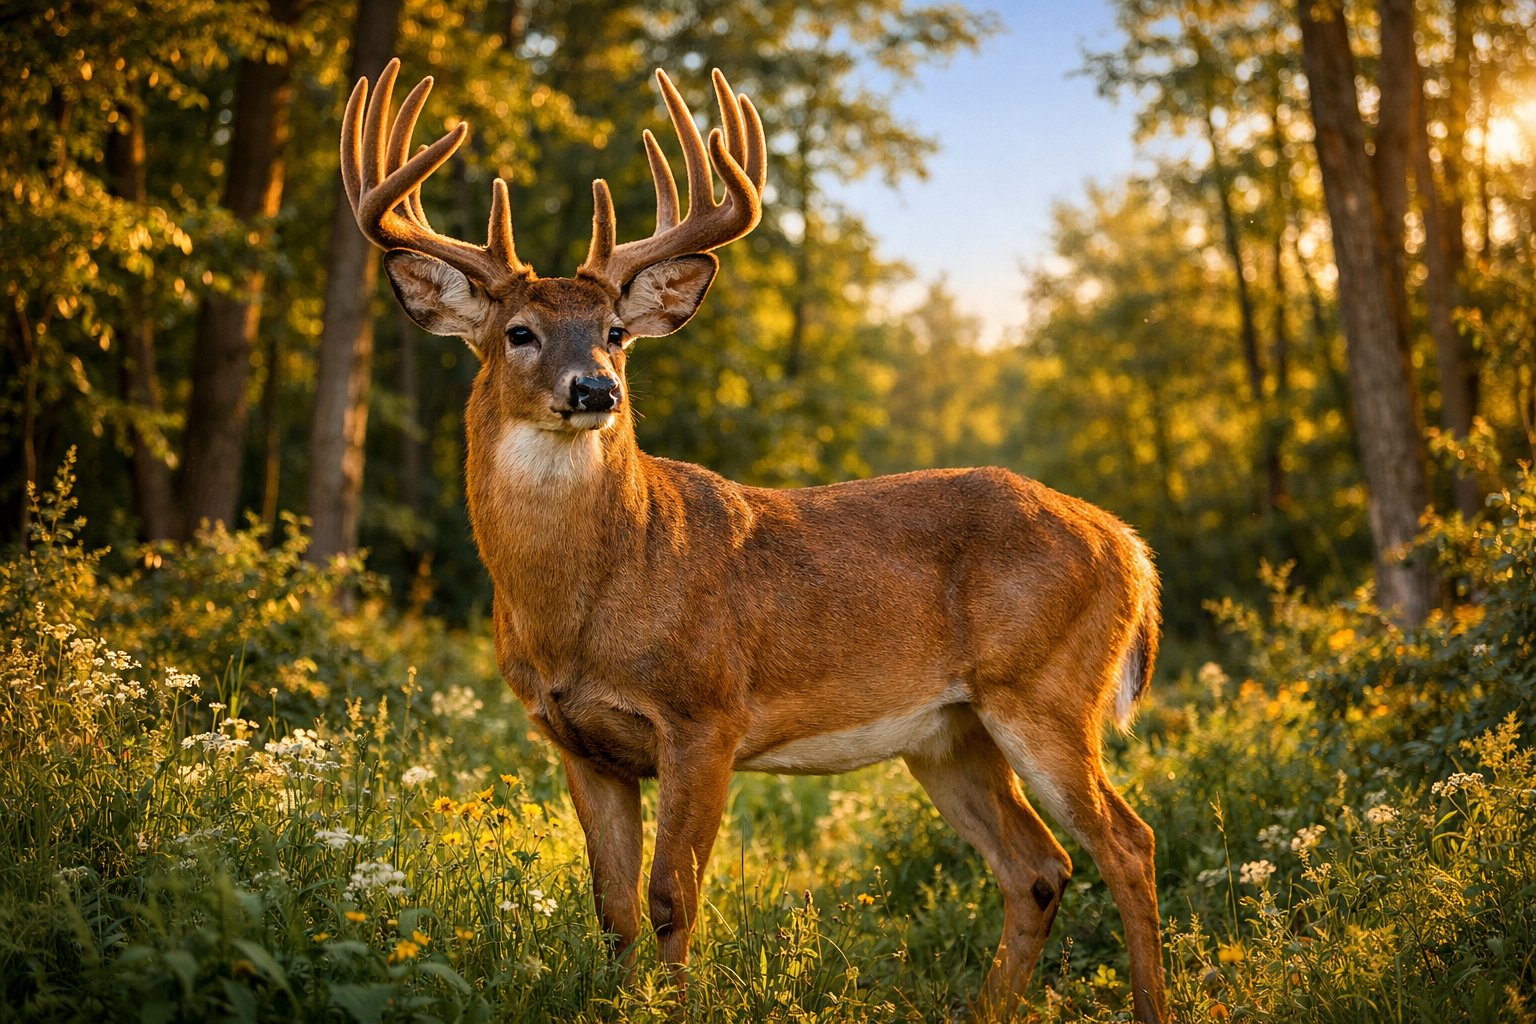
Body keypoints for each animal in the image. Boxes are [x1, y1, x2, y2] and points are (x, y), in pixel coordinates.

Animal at [339, 58, 1168, 1023]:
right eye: (519, 333)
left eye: (615, 332)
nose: (596, 390)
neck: (582, 609)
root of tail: (1129, 544)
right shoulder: (574, 739)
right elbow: (612, 910)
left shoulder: (708, 714)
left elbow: (672, 897)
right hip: (948, 732)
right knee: (1038, 866)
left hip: (1046, 690)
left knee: (1127, 841)